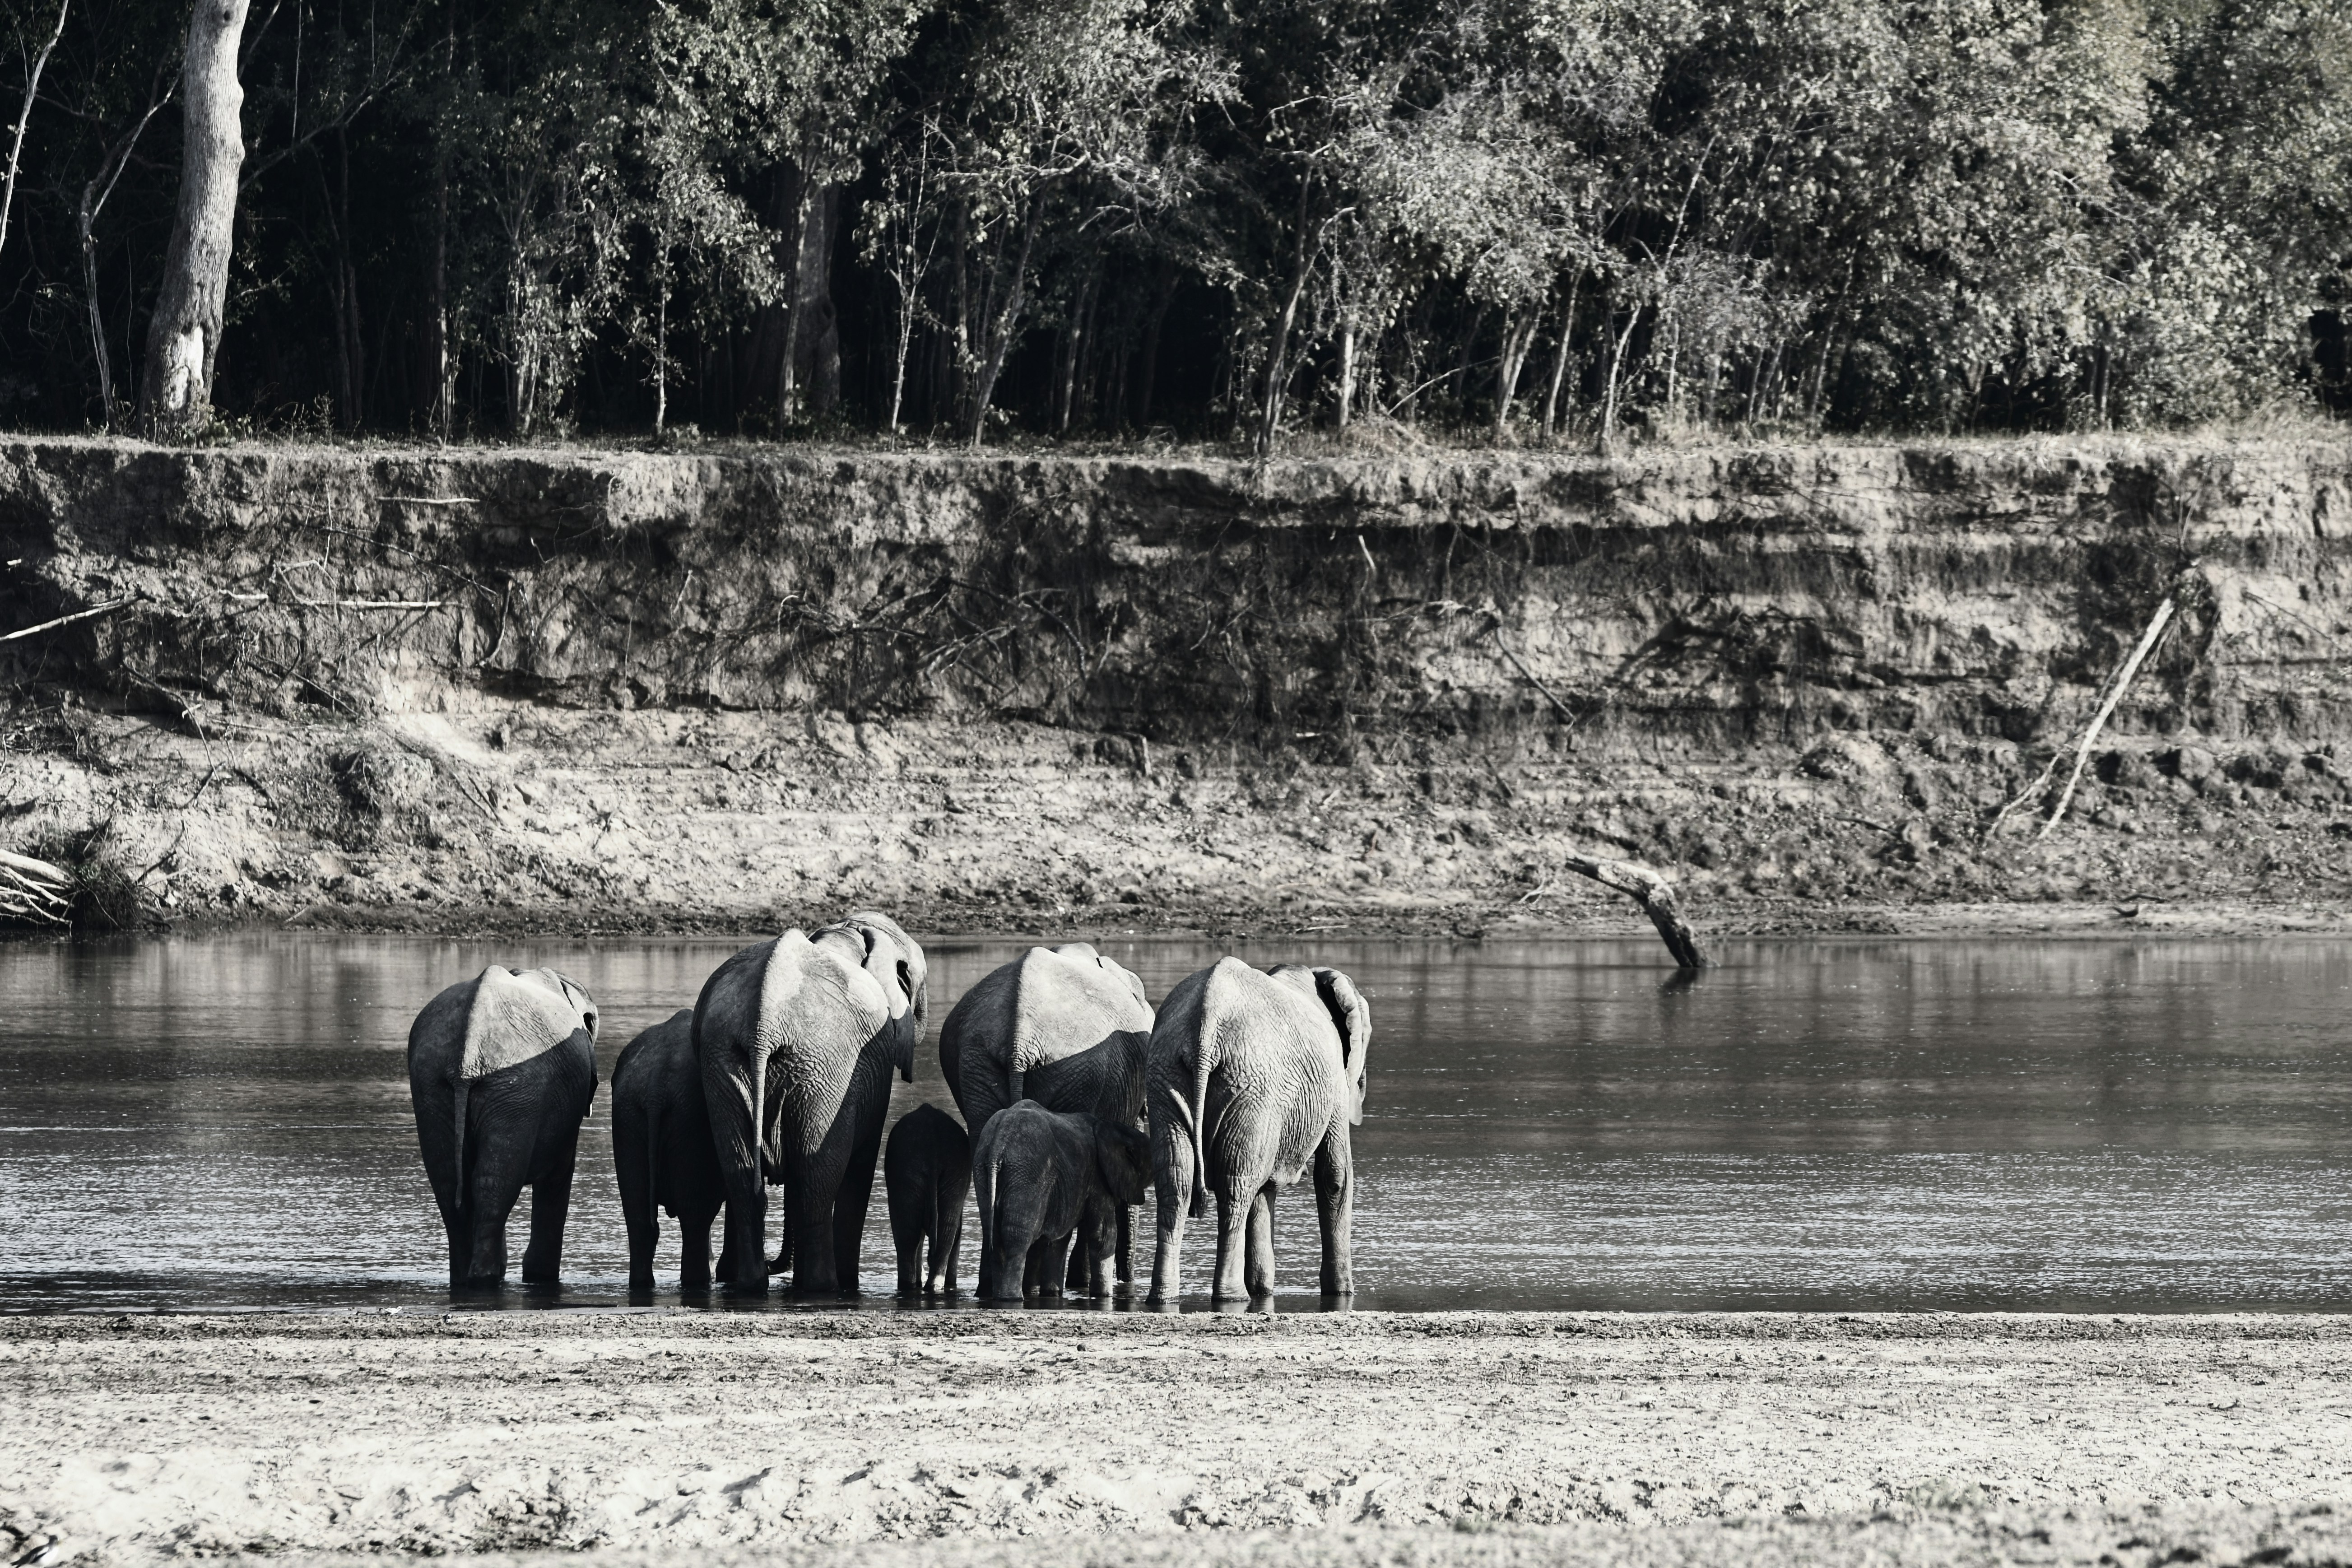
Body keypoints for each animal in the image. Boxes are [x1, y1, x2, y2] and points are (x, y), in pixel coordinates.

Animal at [406, 965, 599, 1290]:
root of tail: (469, 1052)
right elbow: (559, 1177)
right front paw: (540, 1278)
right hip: (516, 1091)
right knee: (495, 1183)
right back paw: (484, 1280)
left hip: (434, 1086)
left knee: (452, 1183)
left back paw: (465, 1279)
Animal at [611, 1008, 728, 1291]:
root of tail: (656, 1087)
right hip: (692, 1122)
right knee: (696, 1219)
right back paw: (700, 1283)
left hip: (628, 1116)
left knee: (640, 1220)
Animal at [695, 911, 927, 1294]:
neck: (847, 933)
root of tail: (764, 1023)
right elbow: (861, 1164)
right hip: (824, 1070)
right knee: (815, 1184)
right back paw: (823, 1287)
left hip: (725, 1064)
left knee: (743, 1174)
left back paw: (750, 1283)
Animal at [972, 1100, 1152, 1301]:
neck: (1109, 1127)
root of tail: (998, 1145)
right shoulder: (1098, 1179)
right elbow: (1104, 1233)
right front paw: (1104, 1297)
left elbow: (1057, 1239)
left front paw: (1052, 1295)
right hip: (1027, 1175)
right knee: (1016, 1239)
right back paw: (1012, 1299)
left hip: (984, 1171)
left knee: (994, 1236)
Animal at [1144, 957, 1369, 1305]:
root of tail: (1205, 1031)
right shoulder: (1334, 1083)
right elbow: (1335, 1176)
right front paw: (1343, 1294)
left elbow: (1267, 1188)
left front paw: (1264, 1289)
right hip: (1252, 1086)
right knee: (1235, 1187)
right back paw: (1232, 1297)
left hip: (1168, 1076)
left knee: (1176, 1182)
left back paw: (1164, 1297)